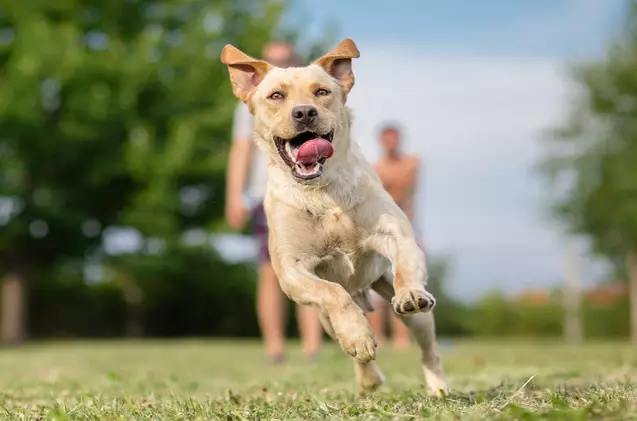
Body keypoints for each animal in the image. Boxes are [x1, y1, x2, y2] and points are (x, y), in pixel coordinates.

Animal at [221, 37, 450, 396]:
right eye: (276, 96)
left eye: (321, 92)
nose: (304, 112)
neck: (322, 191)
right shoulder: (292, 271)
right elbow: (333, 293)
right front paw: (358, 336)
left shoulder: (396, 236)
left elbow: (405, 267)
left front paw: (410, 292)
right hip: (324, 319)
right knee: (350, 335)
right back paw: (368, 375)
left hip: (414, 315)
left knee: (429, 349)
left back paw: (437, 386)